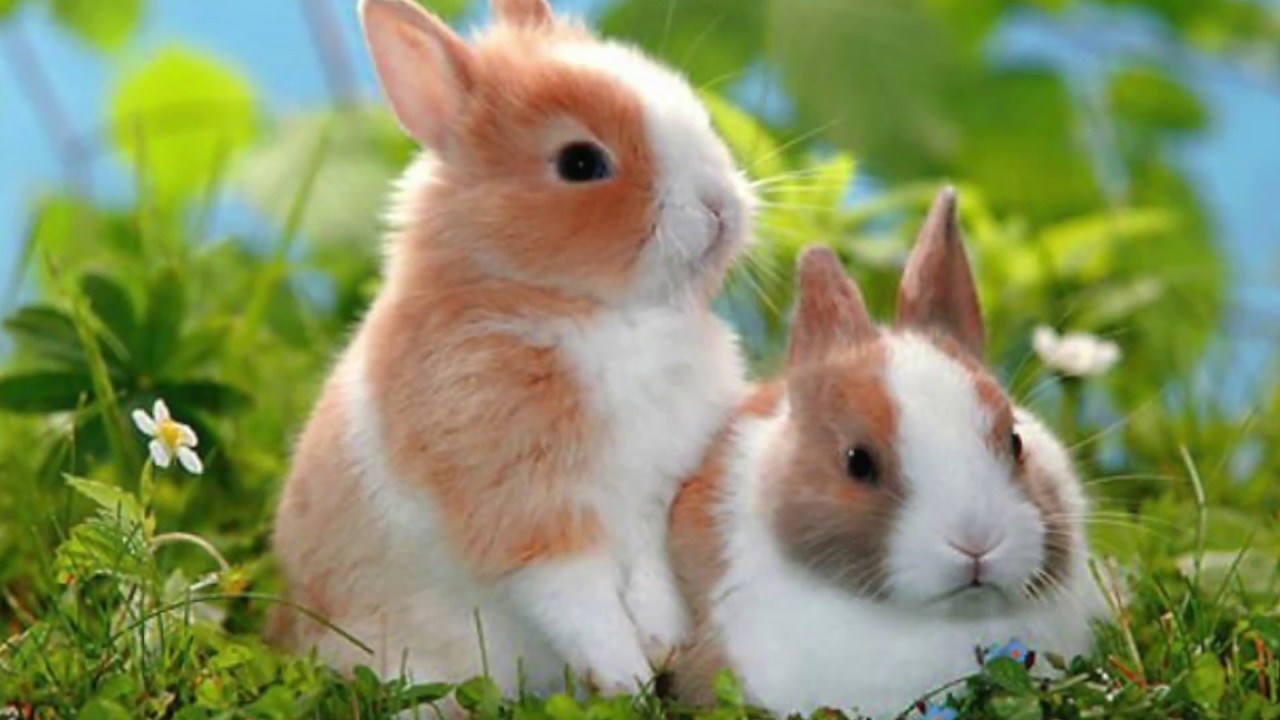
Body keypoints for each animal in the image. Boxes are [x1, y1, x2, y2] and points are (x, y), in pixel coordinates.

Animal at [269, 0, 754, 698]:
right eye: (580, 163)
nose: (719, 207)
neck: (601, 318)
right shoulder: (530, 517)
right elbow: (580, 603)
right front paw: (629, 680)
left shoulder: (655, 495)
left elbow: (650, 574)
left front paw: (663, 643)